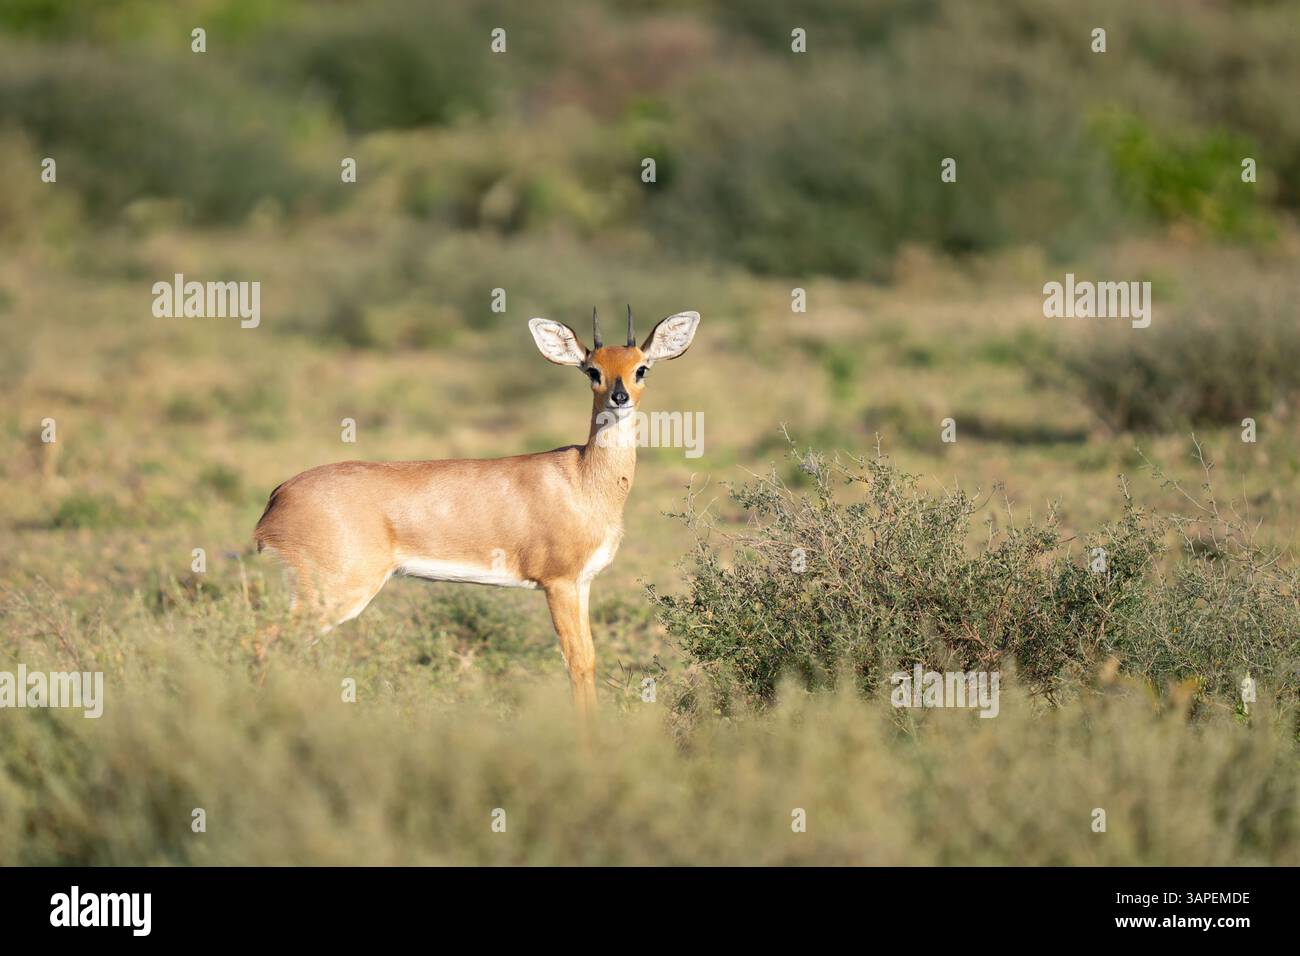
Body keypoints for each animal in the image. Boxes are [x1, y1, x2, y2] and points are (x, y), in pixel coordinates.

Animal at [254, 307, 700, 715]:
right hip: (334, 592)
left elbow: (588, 659)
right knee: (265, 642)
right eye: (592, 370)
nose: (618, 397)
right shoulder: (558, 582)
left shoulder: (583, 582)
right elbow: (577, 662)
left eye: (641, 368)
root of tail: (278, 496)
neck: (583, 479)